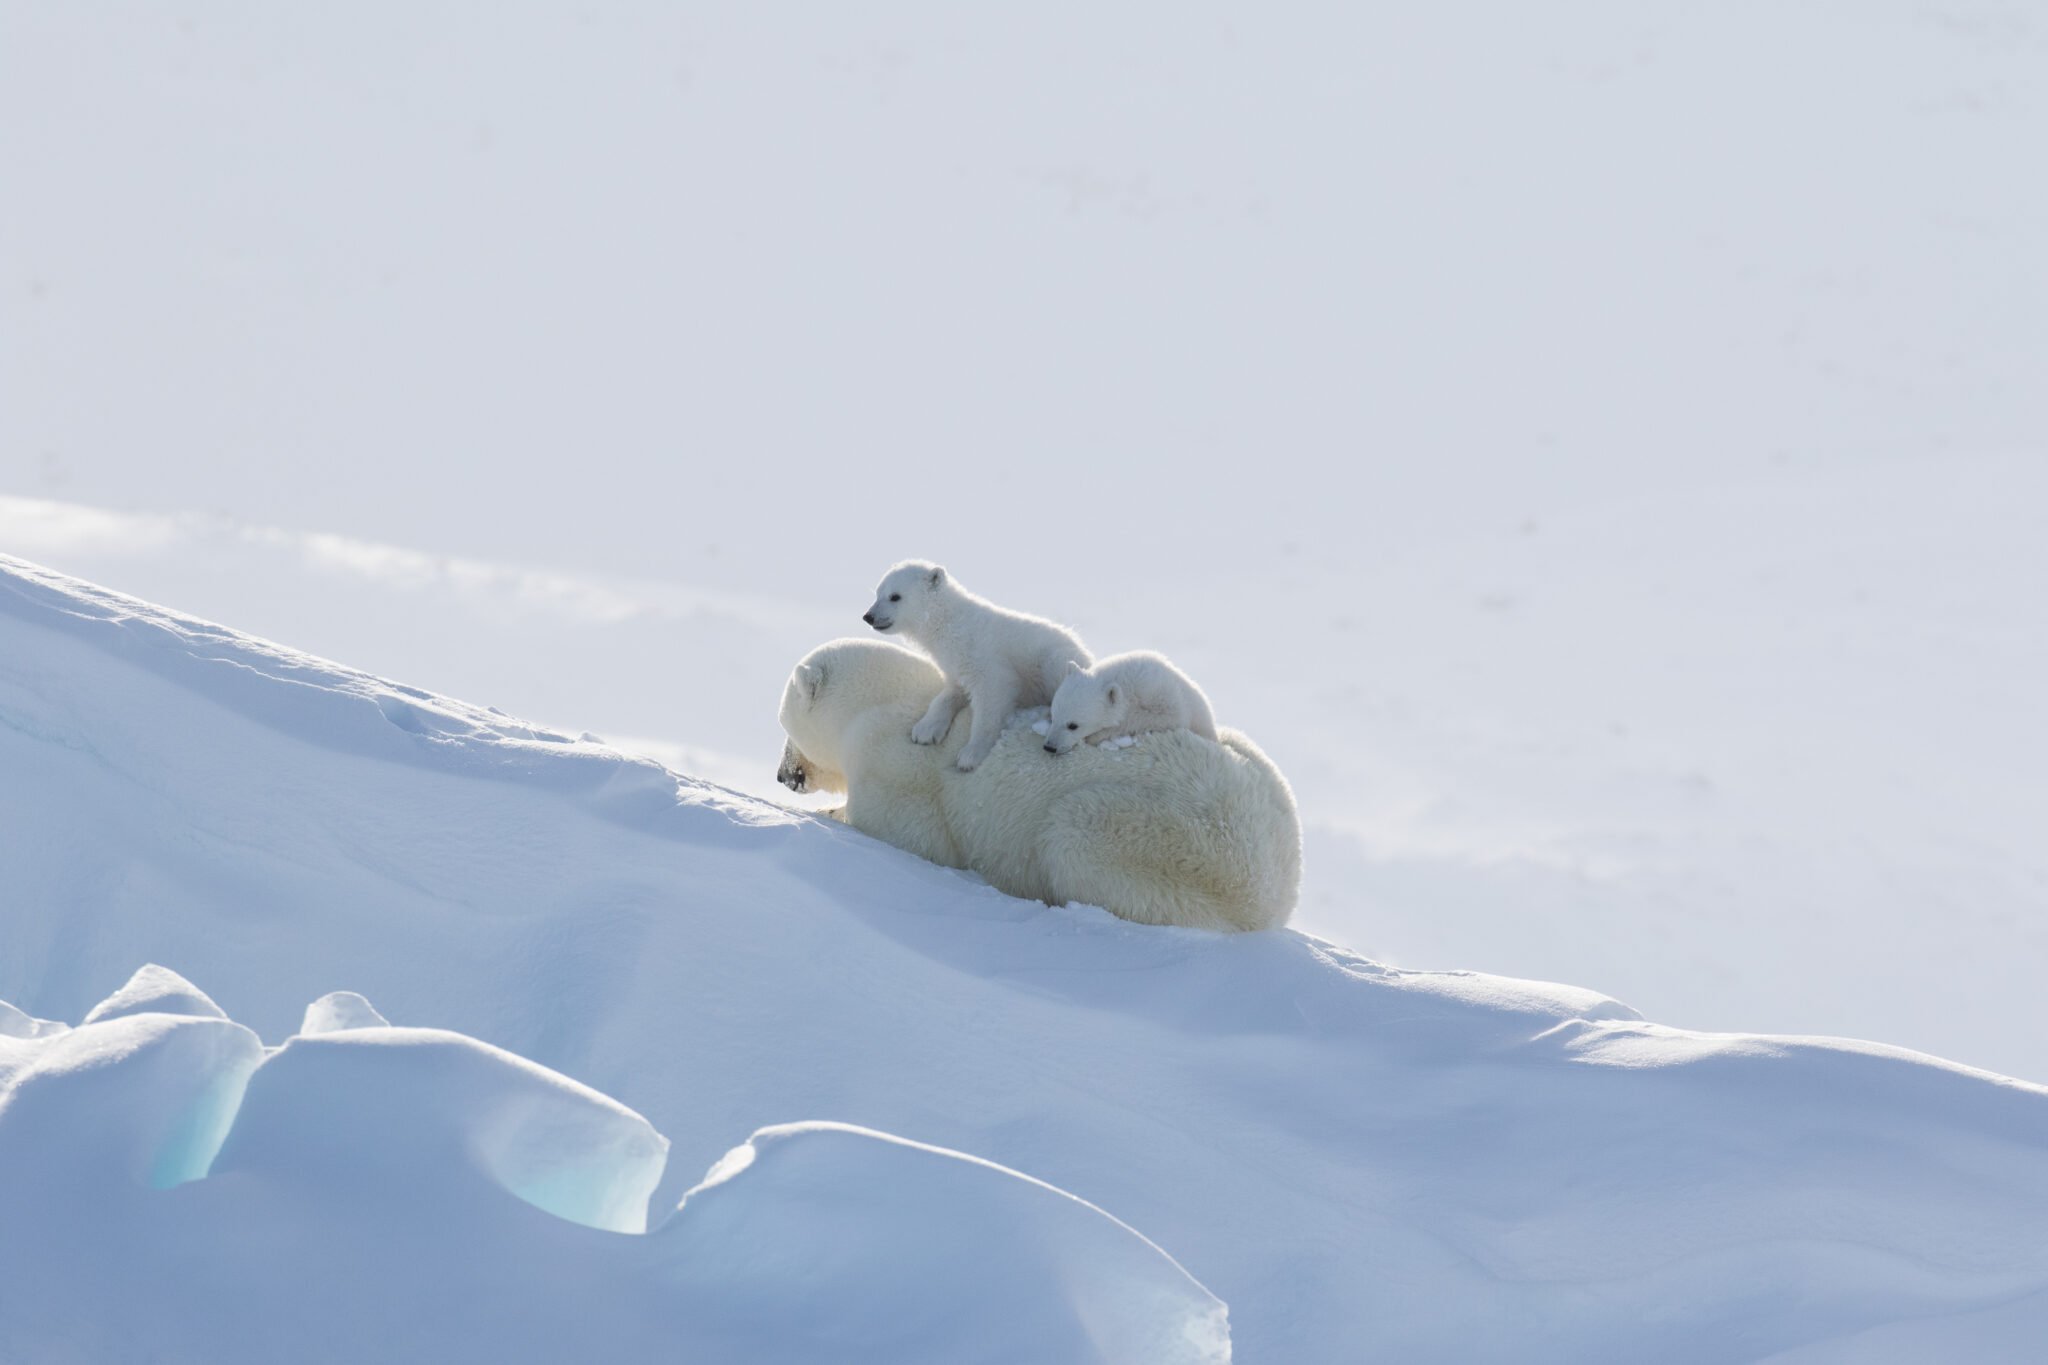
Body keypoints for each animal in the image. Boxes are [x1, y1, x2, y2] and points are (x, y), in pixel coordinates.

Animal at [861, 560, 1092, 772]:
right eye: (878, 593)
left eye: (895, 596)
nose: (868, 616)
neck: (948, 622)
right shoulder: (953, 662)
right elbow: (952, 691)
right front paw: (925, 730)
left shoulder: (982, 654)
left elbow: (992, 694)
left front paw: (970, 755)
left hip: (1054, 658)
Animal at [1045, 651, 1219, 755]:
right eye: (1053, 717)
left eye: (1073, 725)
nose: (1049, 747)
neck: (1126, 680)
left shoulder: (1159, 693)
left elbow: (1166, 717)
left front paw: (1096, 735)